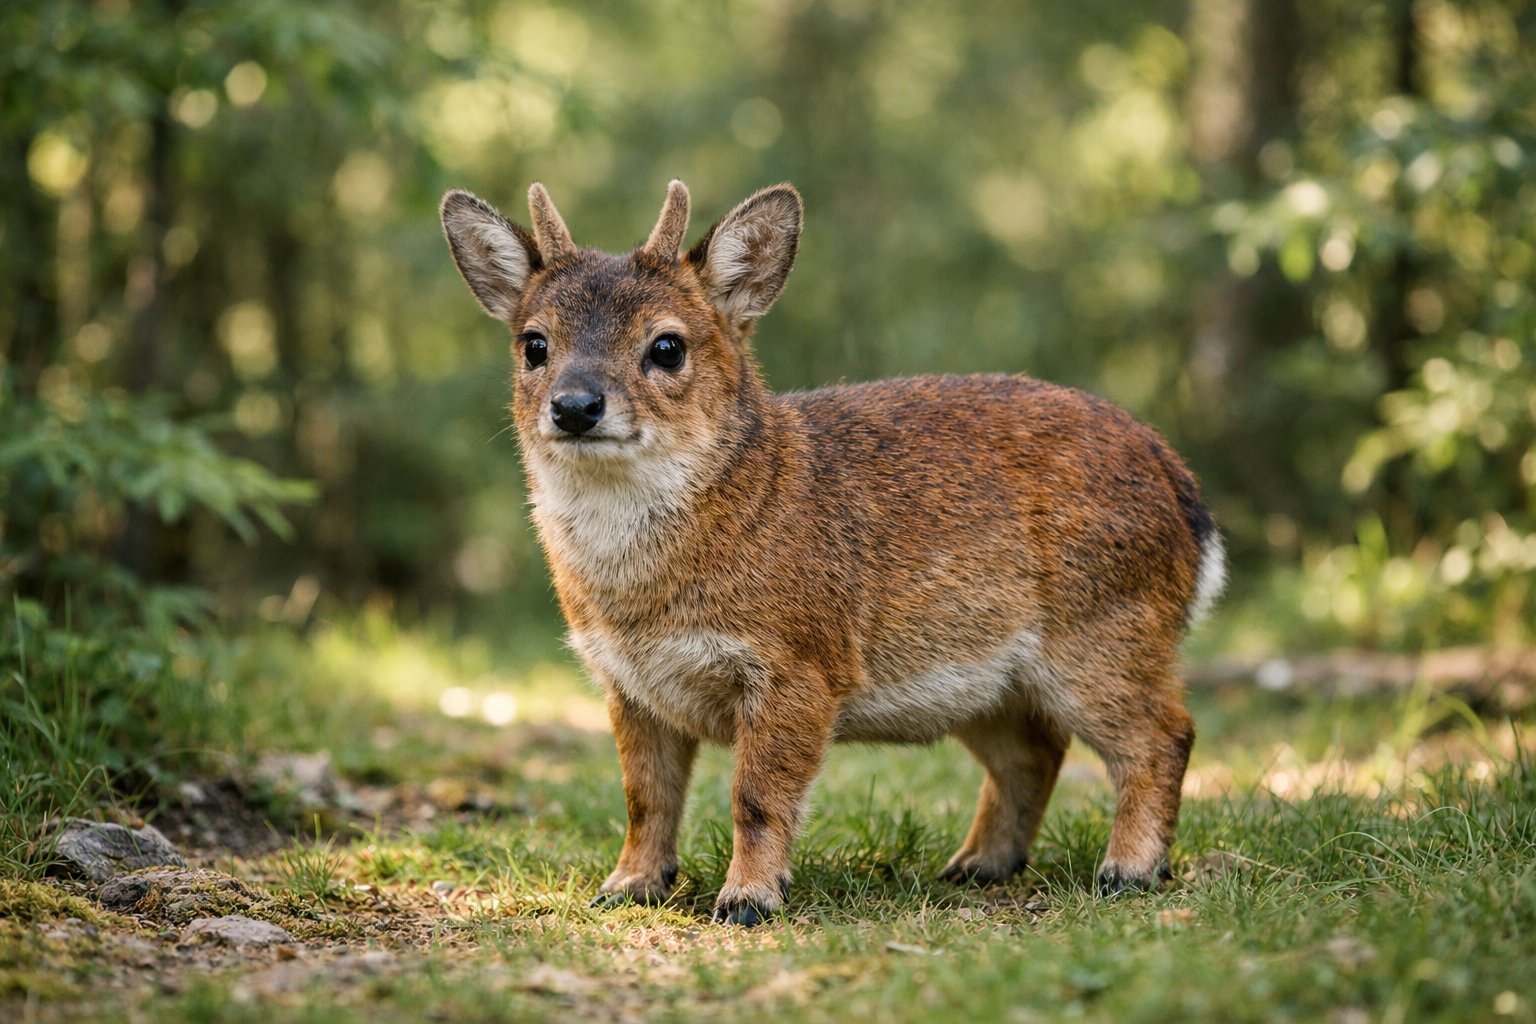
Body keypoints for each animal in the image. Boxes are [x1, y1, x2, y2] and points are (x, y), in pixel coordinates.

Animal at [439, 180, 1225, 926]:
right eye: (534, 343)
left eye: (667, 346)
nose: (576, 405)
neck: (640, 600)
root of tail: (1187, 492)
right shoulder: (628, 684)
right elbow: (645, 797)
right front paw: (627, 886)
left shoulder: (798, 662)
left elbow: (756, 794)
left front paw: (749, 899)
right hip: (996, 681)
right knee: (1036, 750)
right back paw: (977, 864)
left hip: (1104, 632)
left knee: (1165, 733)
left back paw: (1127, 871)